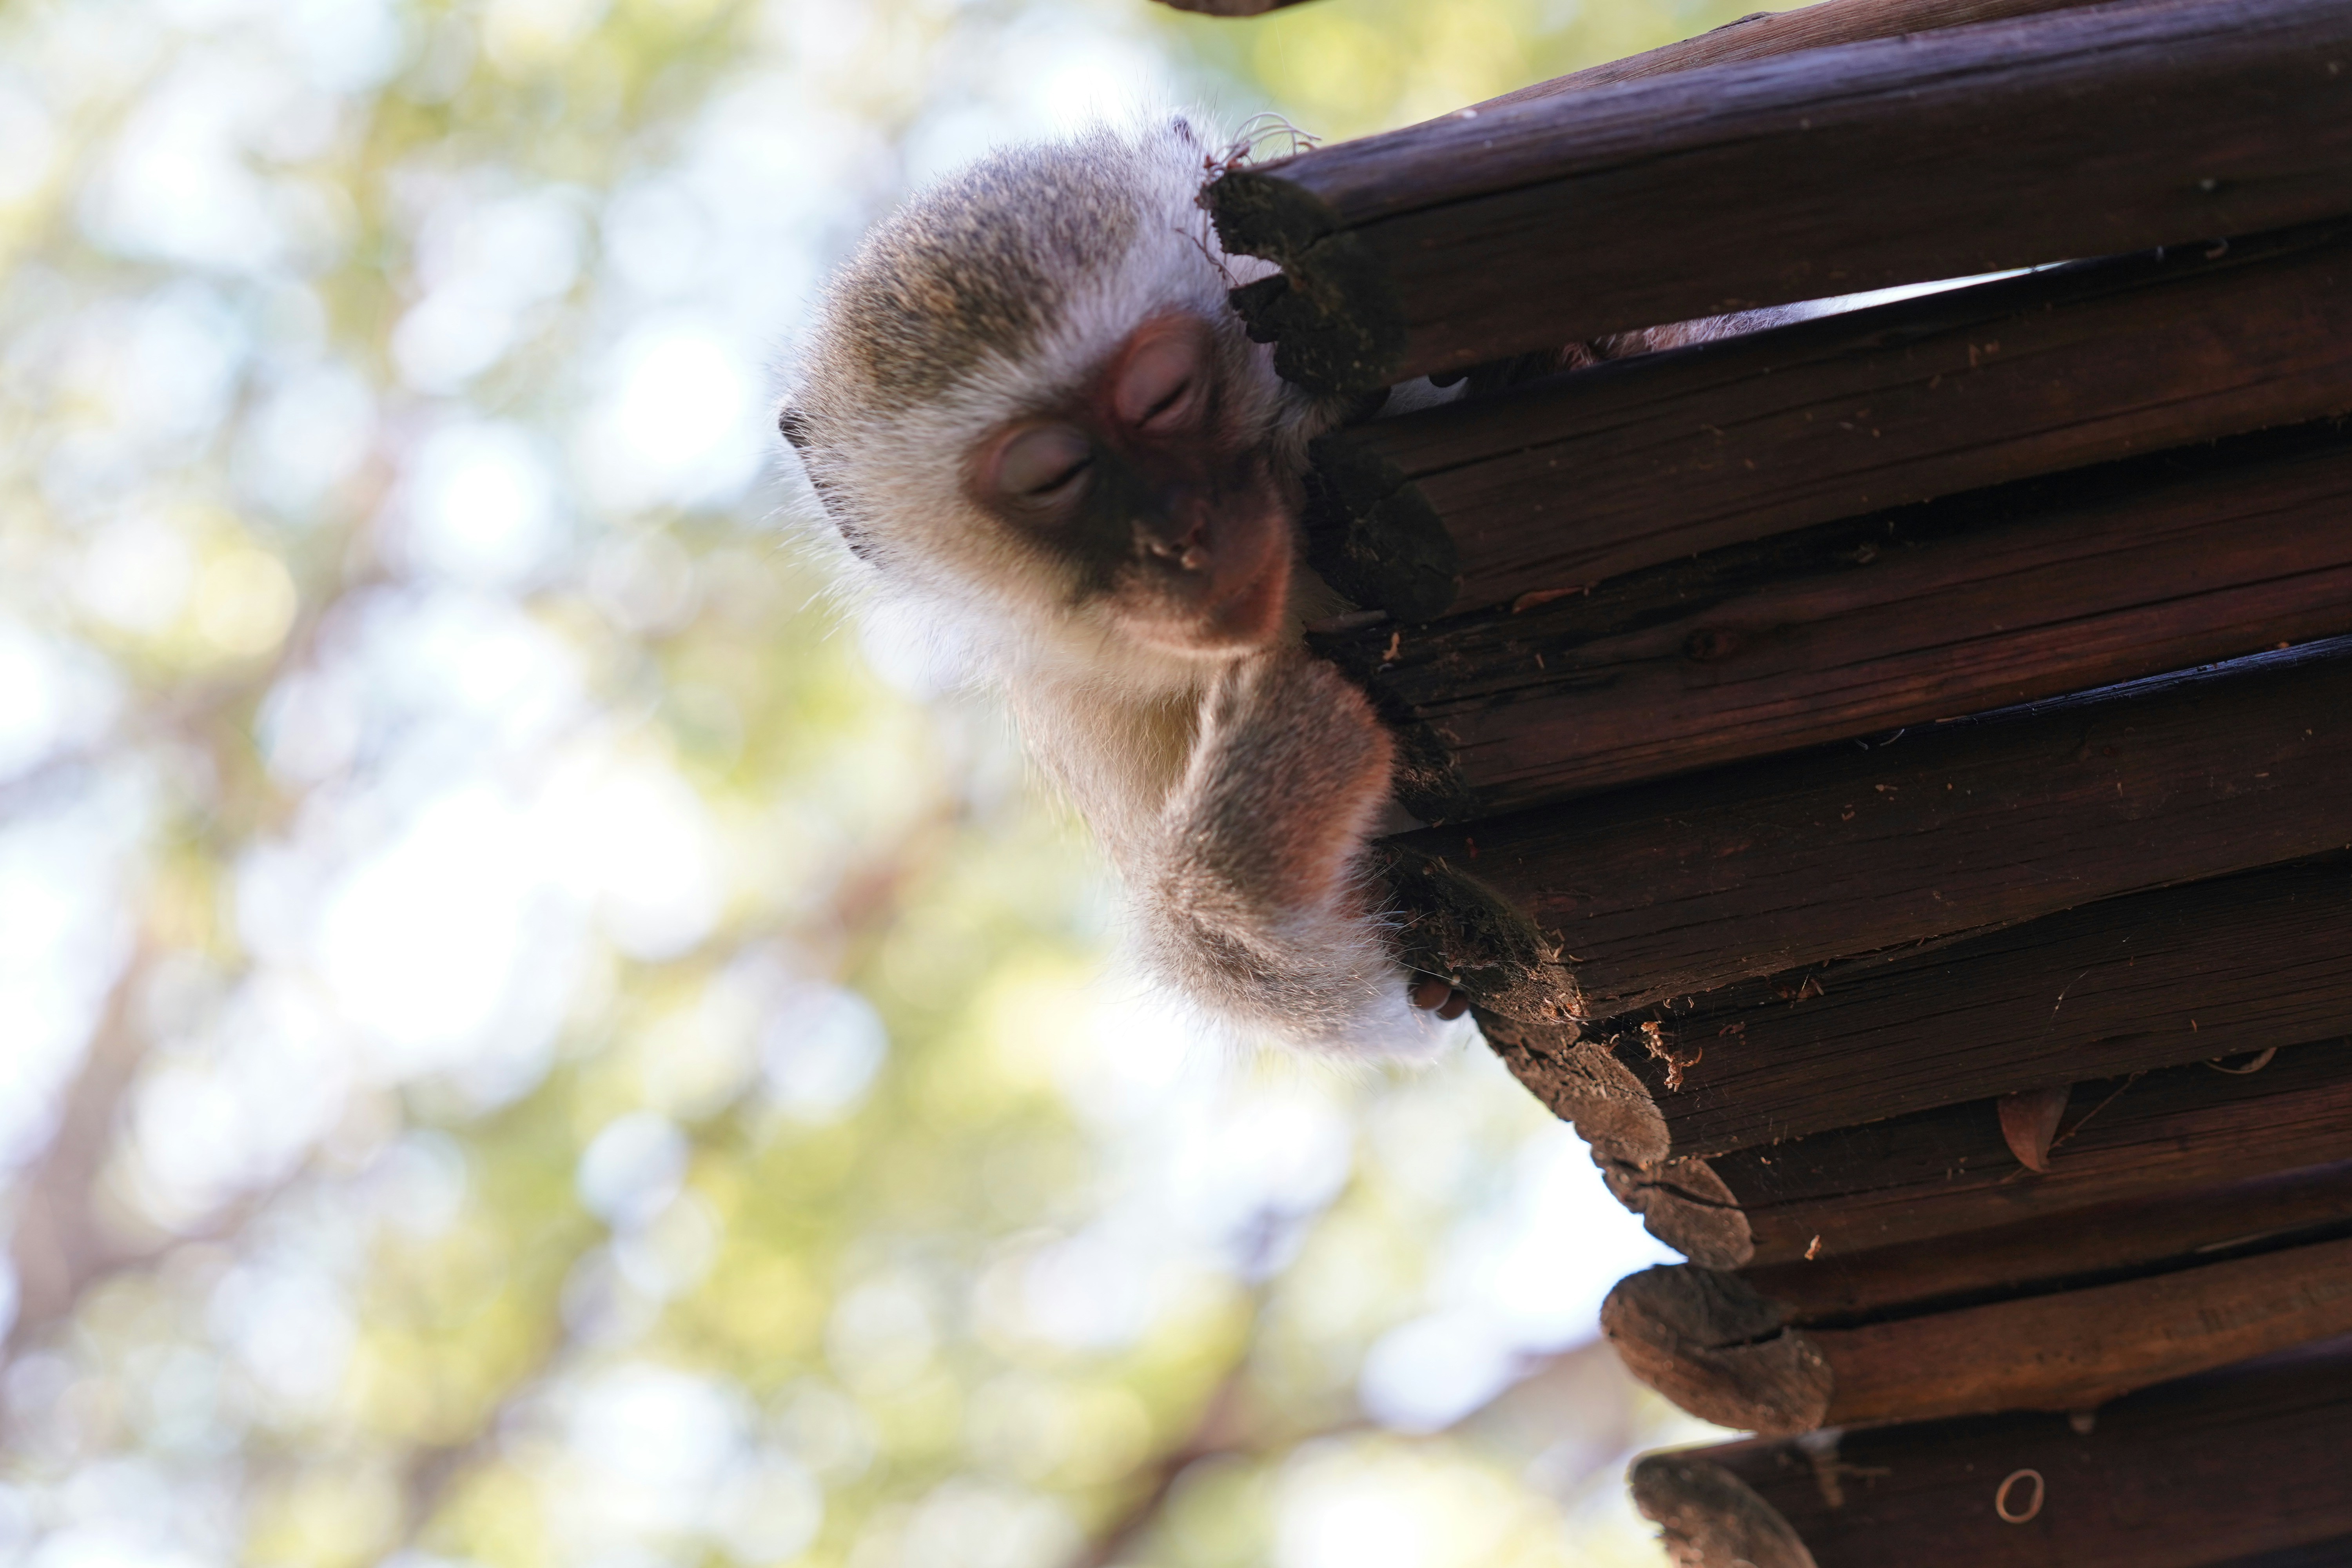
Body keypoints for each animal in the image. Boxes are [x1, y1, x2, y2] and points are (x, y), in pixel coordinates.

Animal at [778, 114, 1475, 1057]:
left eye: (1163, 395)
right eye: (1052, 476)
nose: (1178, 534)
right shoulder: (1089, 707)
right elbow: (1390, 1001)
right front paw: (1255, 828)